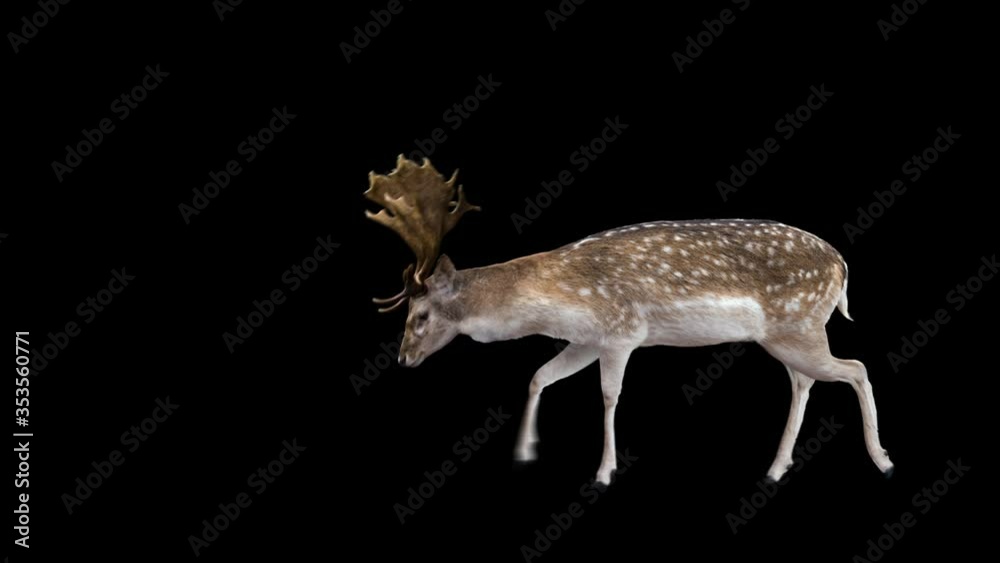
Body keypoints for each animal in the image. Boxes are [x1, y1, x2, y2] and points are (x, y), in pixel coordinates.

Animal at [364, 155, 894, 486]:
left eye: (421, 314)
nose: (404, 358)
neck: (551, 298)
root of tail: (842, 265)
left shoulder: (620, 332)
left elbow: (608, 395)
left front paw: (603, 471)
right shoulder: (585, 340)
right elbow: (539, 377)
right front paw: (526, 450)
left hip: (799, 326)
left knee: (855, 368)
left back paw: (882, 459)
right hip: (790, 334)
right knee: (805, 381)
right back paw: (777, 467)